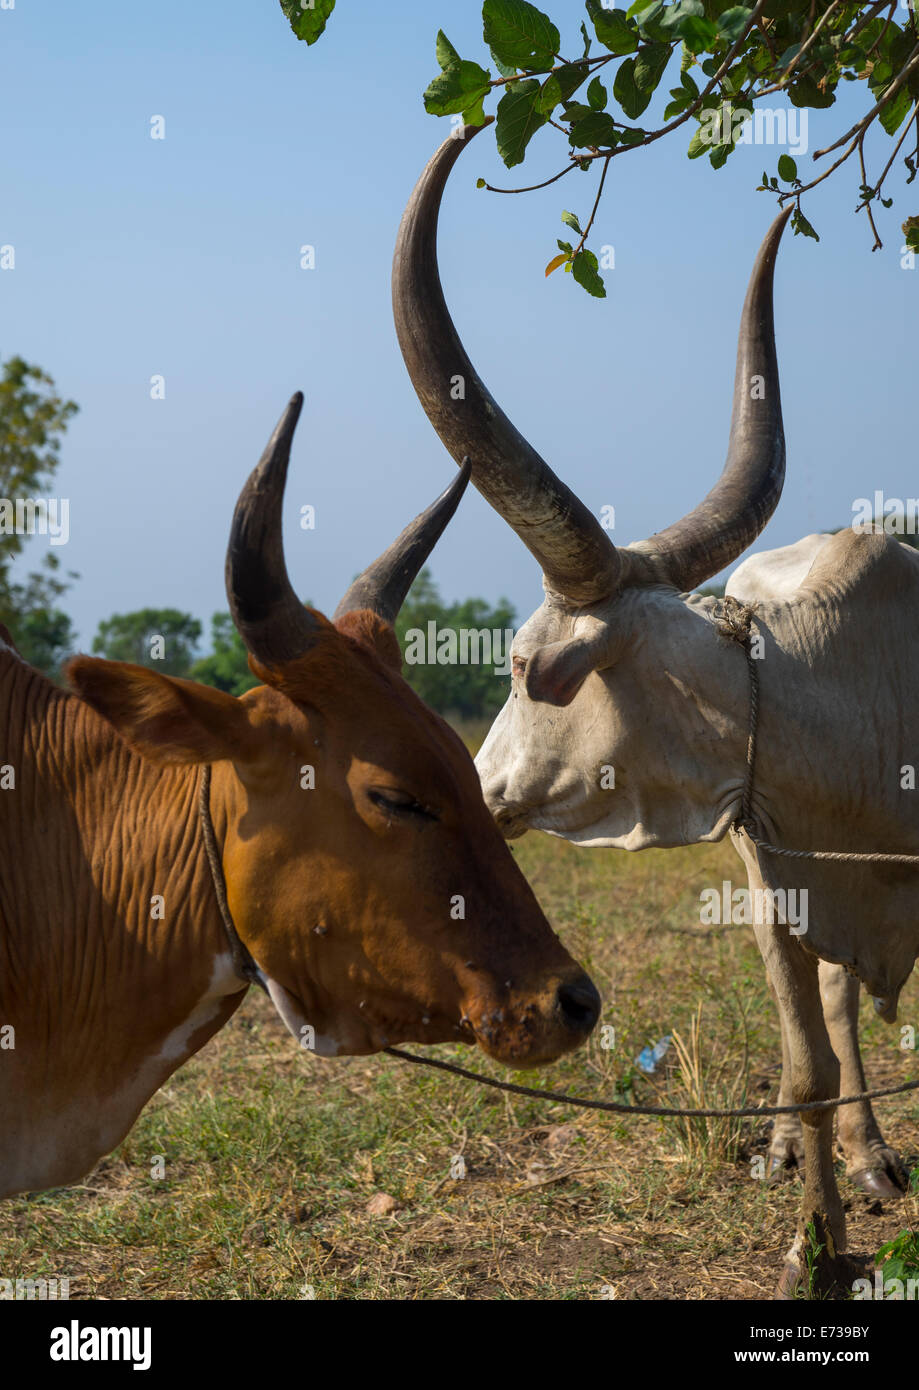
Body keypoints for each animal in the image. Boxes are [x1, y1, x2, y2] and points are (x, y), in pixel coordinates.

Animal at [390, 122, 916, 1295]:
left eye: (519, 666)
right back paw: (822, 1154)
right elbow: (810, 1058)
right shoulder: (780, 874)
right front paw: (813, 1248)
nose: (476, 786)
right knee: (824, 1021)